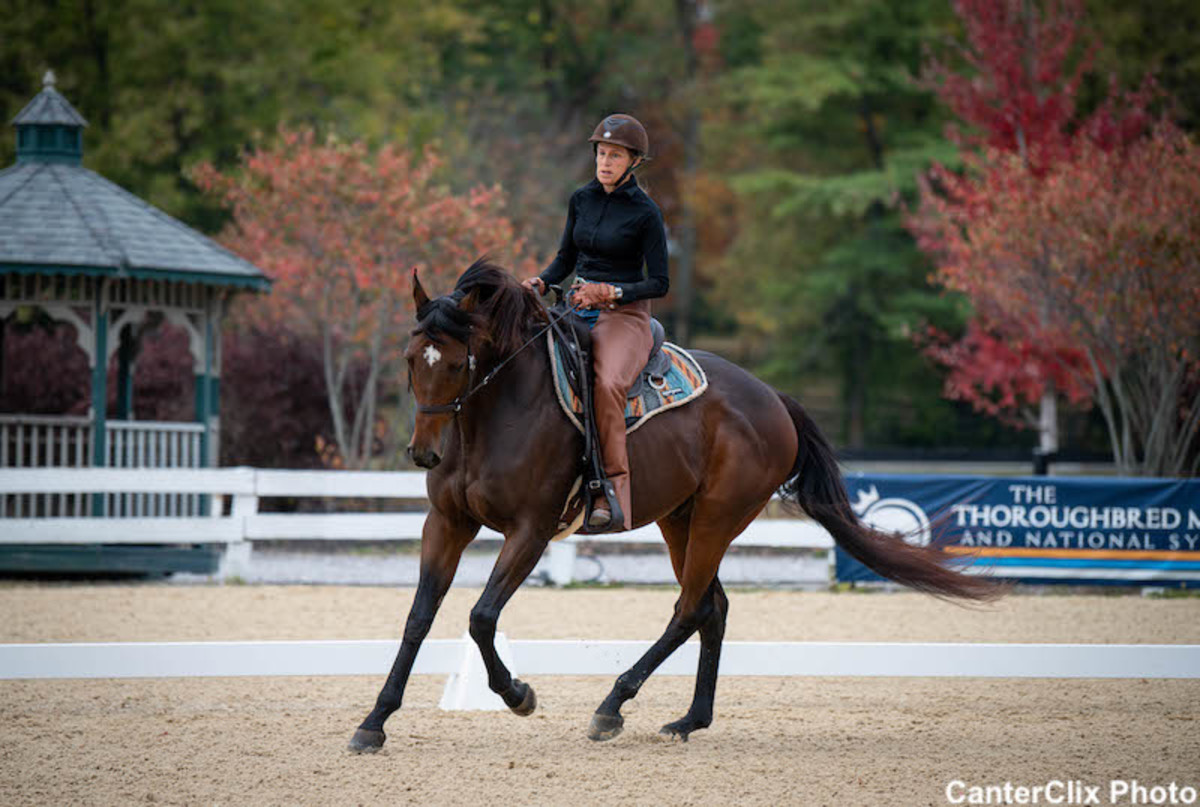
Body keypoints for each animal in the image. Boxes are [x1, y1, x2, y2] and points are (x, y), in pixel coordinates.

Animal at [348, 259, 999, 752]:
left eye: (459, 361)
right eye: (411, 359)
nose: (424, 453)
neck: (499, 411)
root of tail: (773, 398)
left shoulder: (529, 532)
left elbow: (482, 617)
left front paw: (519, 696)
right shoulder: (448, 524)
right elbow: (418, 617)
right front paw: (374, 722)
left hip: (717, 518)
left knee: (689, 608)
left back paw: (612, 706)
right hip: (677, 521)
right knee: (713, 607)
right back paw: (689, 720)